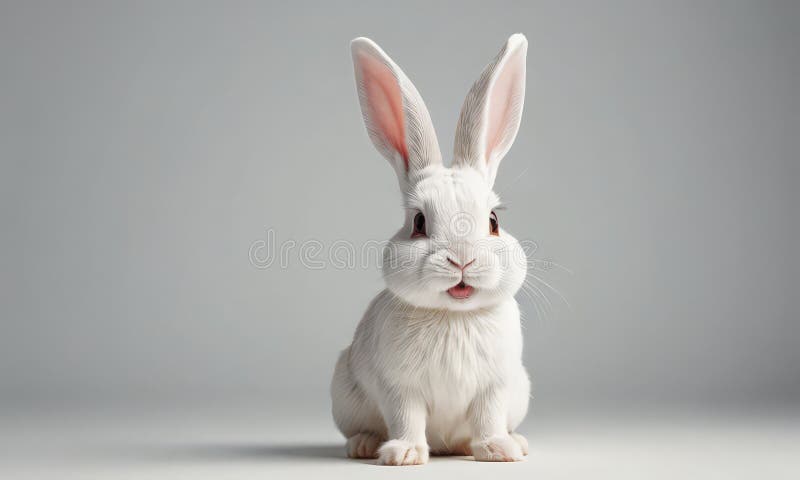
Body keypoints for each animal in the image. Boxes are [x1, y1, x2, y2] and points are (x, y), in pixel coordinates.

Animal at [331, 34, 531, 465]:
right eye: (419, 223)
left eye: (493, 221)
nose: (462, 259)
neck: (454, 317)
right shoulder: (399, 388)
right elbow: (406, 417)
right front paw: (404, 454)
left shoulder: (495, 385)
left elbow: (489, 416)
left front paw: (498, 450)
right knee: (363, 428)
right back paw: (365, 445)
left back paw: (501, 443)